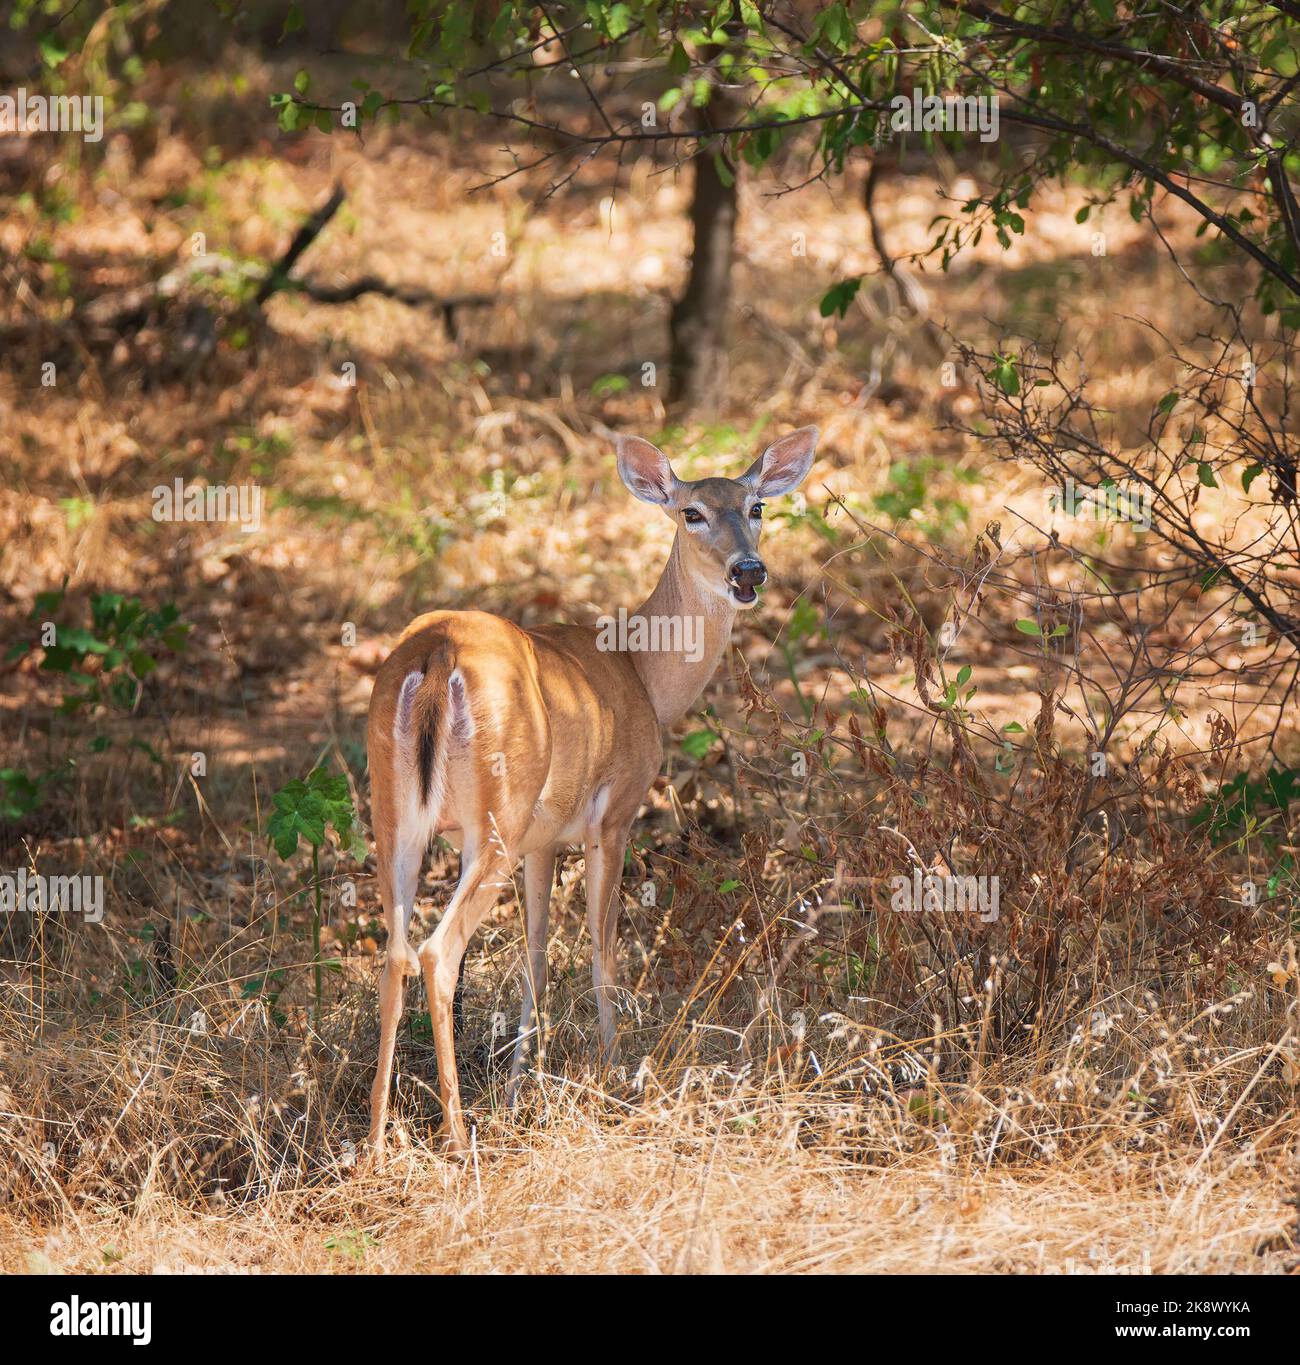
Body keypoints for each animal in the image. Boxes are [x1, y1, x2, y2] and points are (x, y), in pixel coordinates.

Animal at [365, 425, 819, 1158]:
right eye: (691, 513)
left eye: (756, 507)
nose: (749, 572)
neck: (645, 676)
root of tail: (437, 658)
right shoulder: (616, 812)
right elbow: (604, 948)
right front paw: (615, 1073)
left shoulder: (543, 839)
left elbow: (538, 955)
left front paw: (520, 1086)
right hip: (496, 810)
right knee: (438, 951)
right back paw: (458, 1140)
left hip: (396, 814)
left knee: (393, 953)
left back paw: (378, 1140)